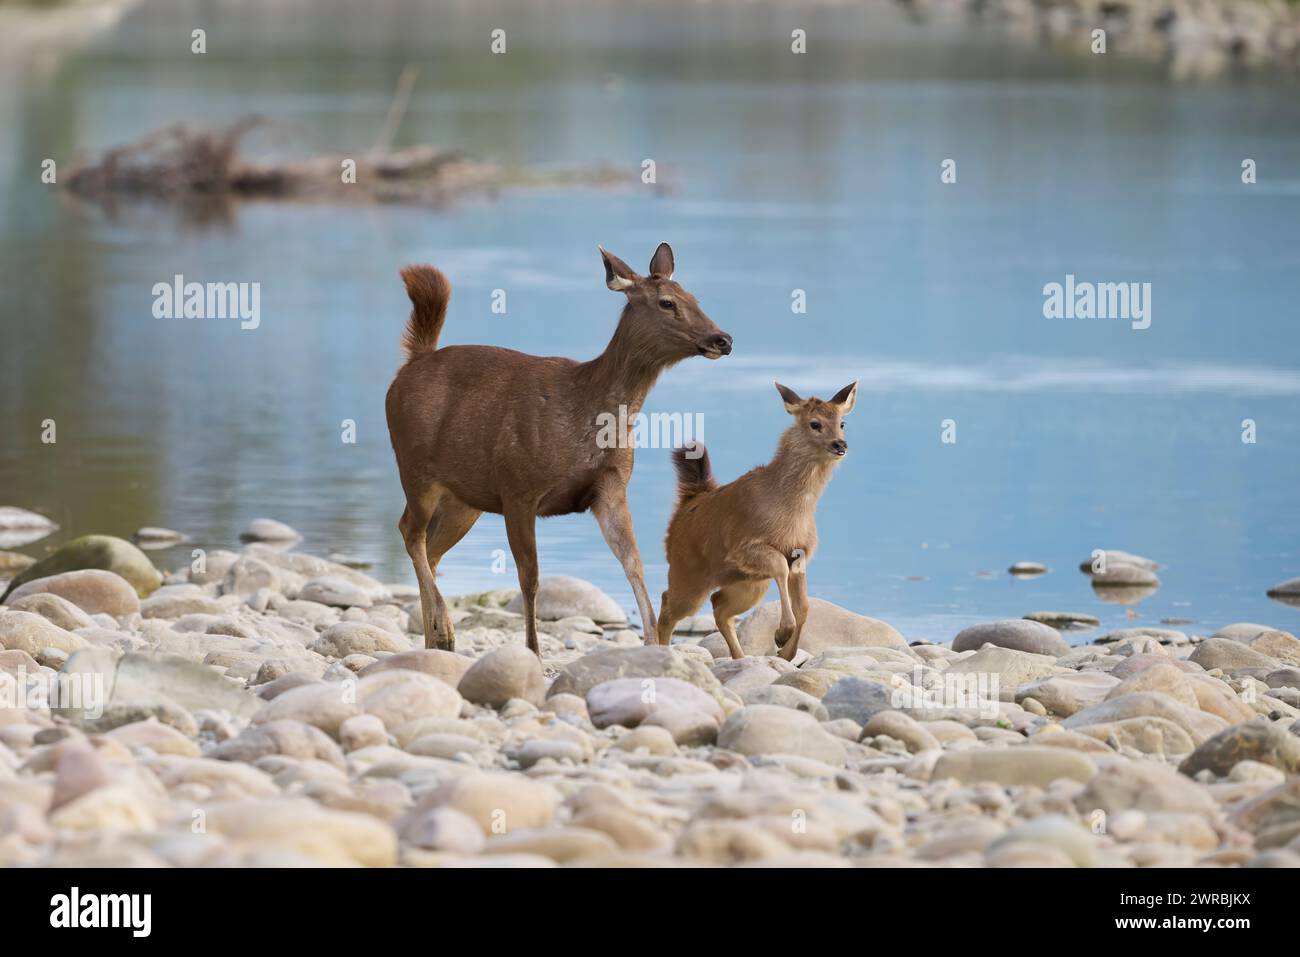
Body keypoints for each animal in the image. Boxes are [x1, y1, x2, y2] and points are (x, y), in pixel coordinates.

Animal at [385, 243, 733, 656]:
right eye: (667, 302)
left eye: (695, 297)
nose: (723, 339)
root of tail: (413, 362)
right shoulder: (519, 487)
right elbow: (530, 575)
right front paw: (533, 651)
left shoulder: (611, 487)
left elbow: (633, 562)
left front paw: (654, 643)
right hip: (414, 468)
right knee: (409, 532)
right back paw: (445, 629)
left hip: (465, 499)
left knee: (432, 548)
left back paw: (433, 640)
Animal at [655, 379, 858, 661]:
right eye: (814, 423)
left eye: (842, 422)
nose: (840, 445)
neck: (792, 510)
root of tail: (687, 504)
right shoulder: (746, 546)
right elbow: (781, 571)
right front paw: (781, 634)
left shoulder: (800, 552)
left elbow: (805, 606)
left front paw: (786, 652)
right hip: (688, 574)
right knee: (668, 605)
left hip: (747, 583)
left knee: (719, 606)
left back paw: (740, 657)